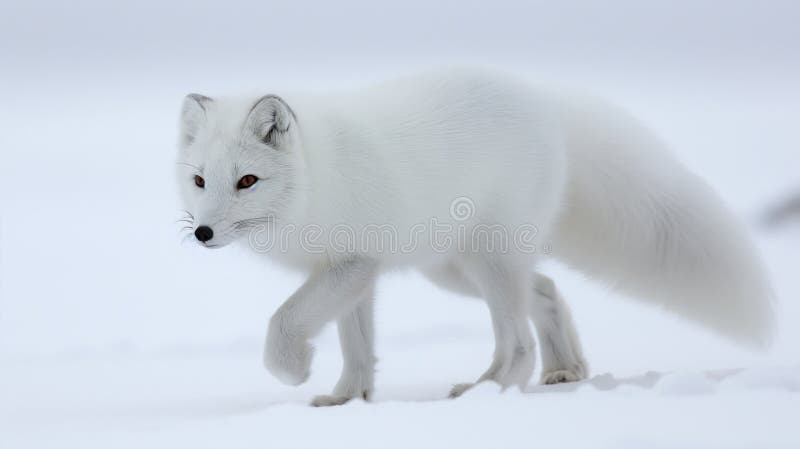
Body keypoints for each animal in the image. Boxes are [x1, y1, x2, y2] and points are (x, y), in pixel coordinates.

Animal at [176, 67, 774, 406]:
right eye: (200, 180)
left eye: (247, 181)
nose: (202, 232)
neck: (317, 179)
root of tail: (543, 99)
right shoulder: (354, 273)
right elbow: (357, 347)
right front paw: (349, 400)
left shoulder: (351, 264)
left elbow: (282, 322)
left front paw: (294, 372)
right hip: (451, 271)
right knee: (547, 290)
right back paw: (564, 371)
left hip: (490, 262)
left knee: (518, 342)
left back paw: (486, 391)